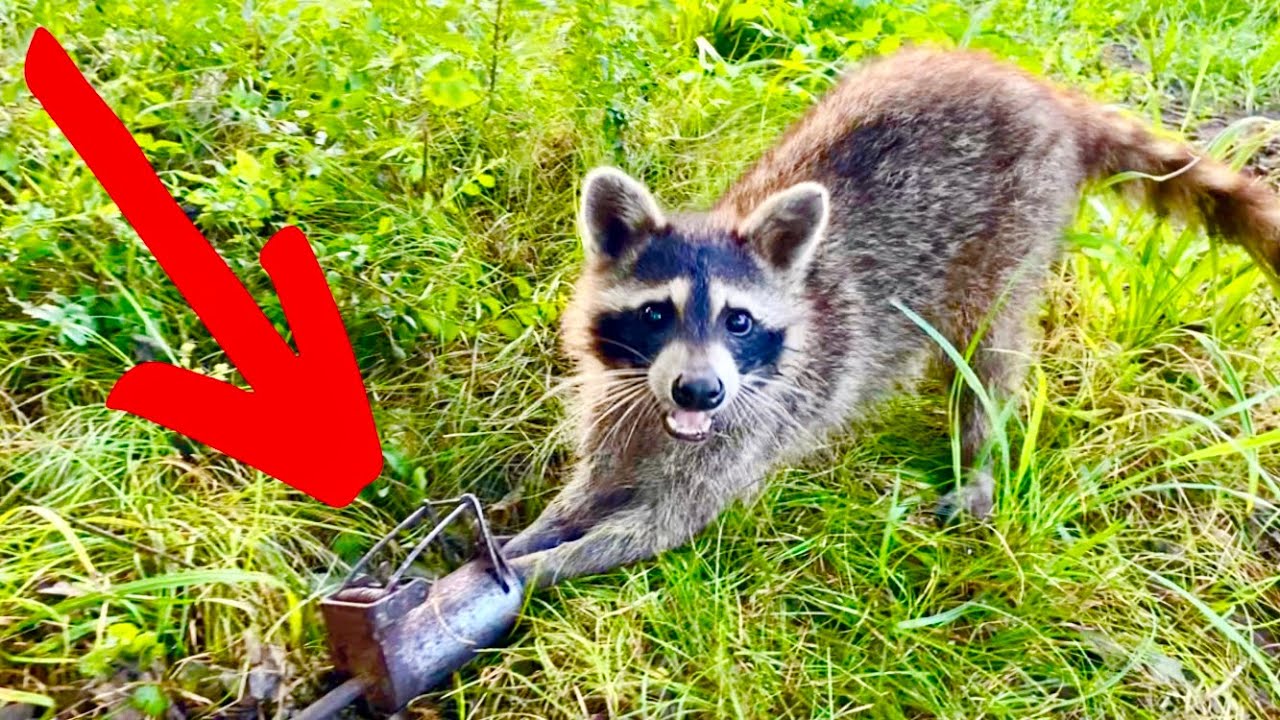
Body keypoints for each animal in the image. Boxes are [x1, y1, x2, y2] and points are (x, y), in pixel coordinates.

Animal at [501, 48, 1280, 587]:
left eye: (739, 322)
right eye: (657, 314)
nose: (700, 390)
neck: (665, 414)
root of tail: (1040, 91)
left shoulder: (744, 432)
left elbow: (658, 526)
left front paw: (538, 570)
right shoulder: (617, 405)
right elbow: (592, 488)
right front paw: (530, 535)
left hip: (1018, 229)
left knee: (988, 360)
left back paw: (979, 456)